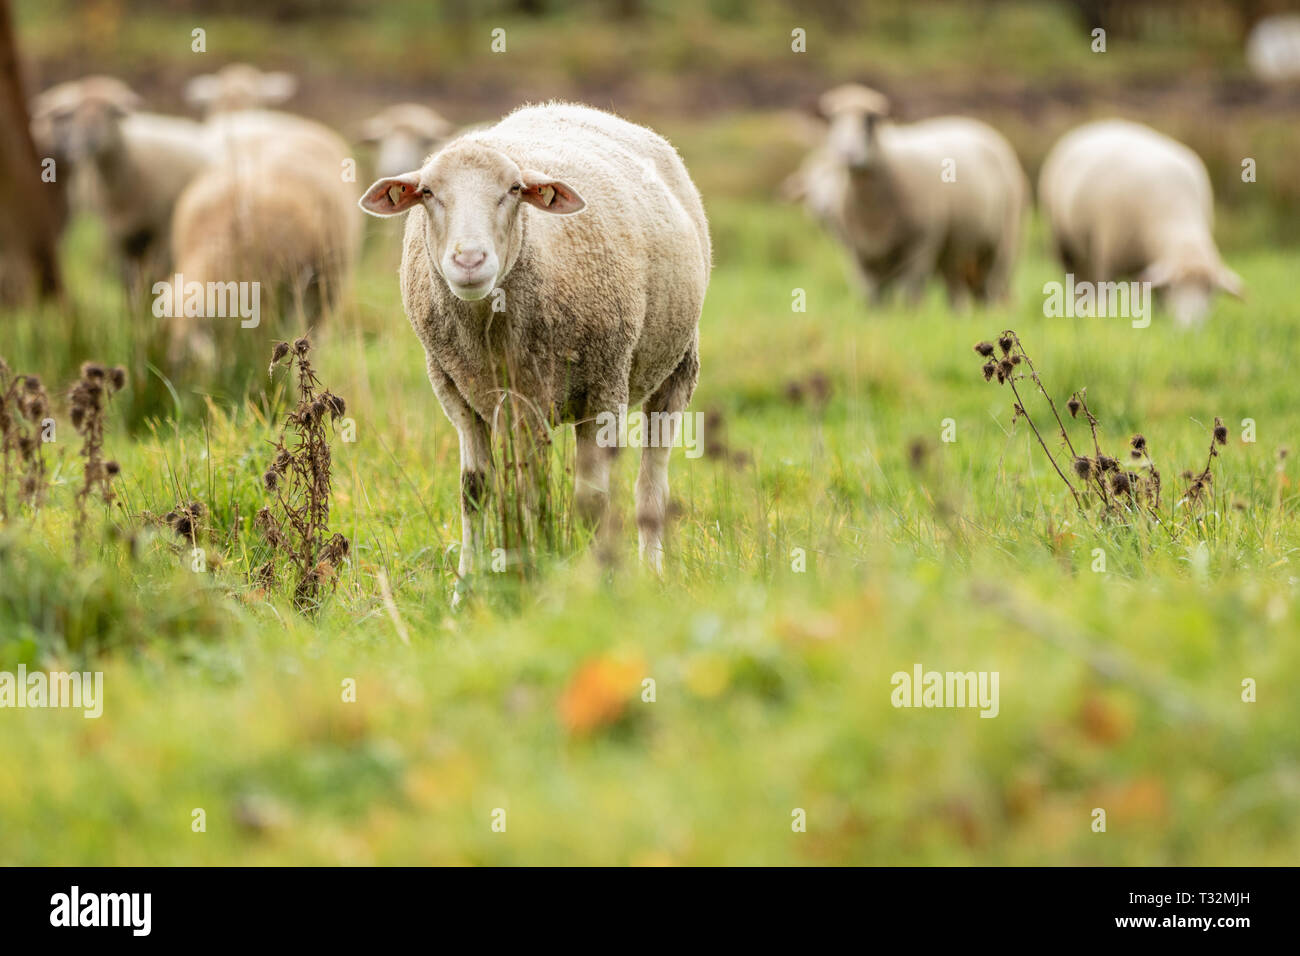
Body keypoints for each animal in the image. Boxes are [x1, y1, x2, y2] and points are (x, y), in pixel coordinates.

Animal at [29, 76, 209, 290]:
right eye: (74, 114)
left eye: (111, 111)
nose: (88, 139)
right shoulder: (116, 235)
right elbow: (127, 277)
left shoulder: (161, 231)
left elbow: (154, 274)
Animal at [358, 101, 711, 582]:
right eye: (427, 192)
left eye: (514, 190)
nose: (470, 259)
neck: (491, 328)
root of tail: (571, 107)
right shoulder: (459, 393)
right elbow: (477, 492)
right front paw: (471, 583)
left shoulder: (604, 388)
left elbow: (591, 501)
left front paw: (594, 583)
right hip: (530, 403)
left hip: (674, 364)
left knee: (651, 479)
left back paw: (653, 570)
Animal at [788, 84, 1027, 306]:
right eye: (830, 119)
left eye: (870, 119)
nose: (846, 154)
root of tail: (976, 125)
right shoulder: (858, 256)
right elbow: (874, 301)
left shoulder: (920, 248)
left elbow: (909, 297)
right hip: (954, 254)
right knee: (957, 294)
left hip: (1002, 243)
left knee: (988, 292)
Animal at [1037, 119, 1243, 327]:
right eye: (1173, 285)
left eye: (1210, 289)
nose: (1189, 327)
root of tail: (1096, 124)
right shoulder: (1107, 253)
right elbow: (1105, 293)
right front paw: (1104, 318)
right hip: (1063, 241)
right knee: (1074, 279)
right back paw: (1077, 311)